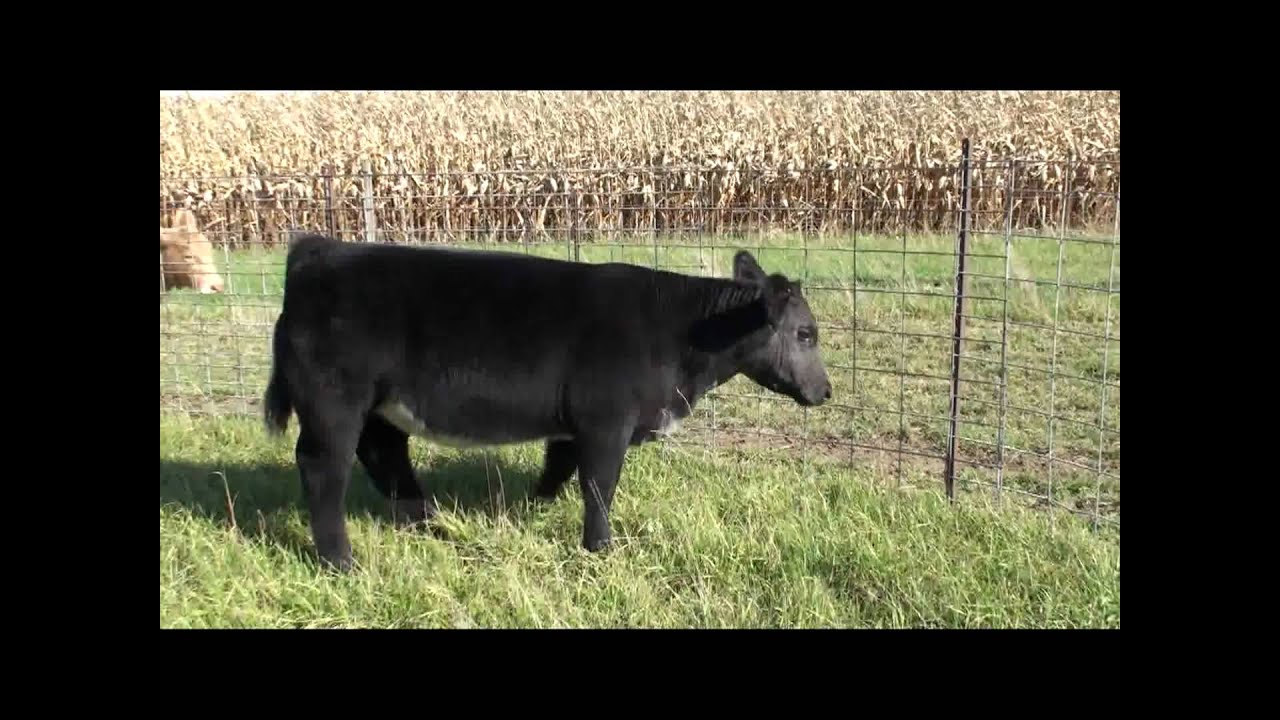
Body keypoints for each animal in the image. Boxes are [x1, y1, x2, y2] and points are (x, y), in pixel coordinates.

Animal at [262, 233, 832, 571]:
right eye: (806, 333)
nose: (826, 391)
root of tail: (323, 249)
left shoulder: (571, 425)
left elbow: (557, 469)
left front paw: (530, 512)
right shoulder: (606, 421)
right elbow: (599, 486)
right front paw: (600, 549)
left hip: (381, 407)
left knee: (384, 454)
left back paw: (430, 523)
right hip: (335, 403)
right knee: (324, 468)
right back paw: (341, 560)